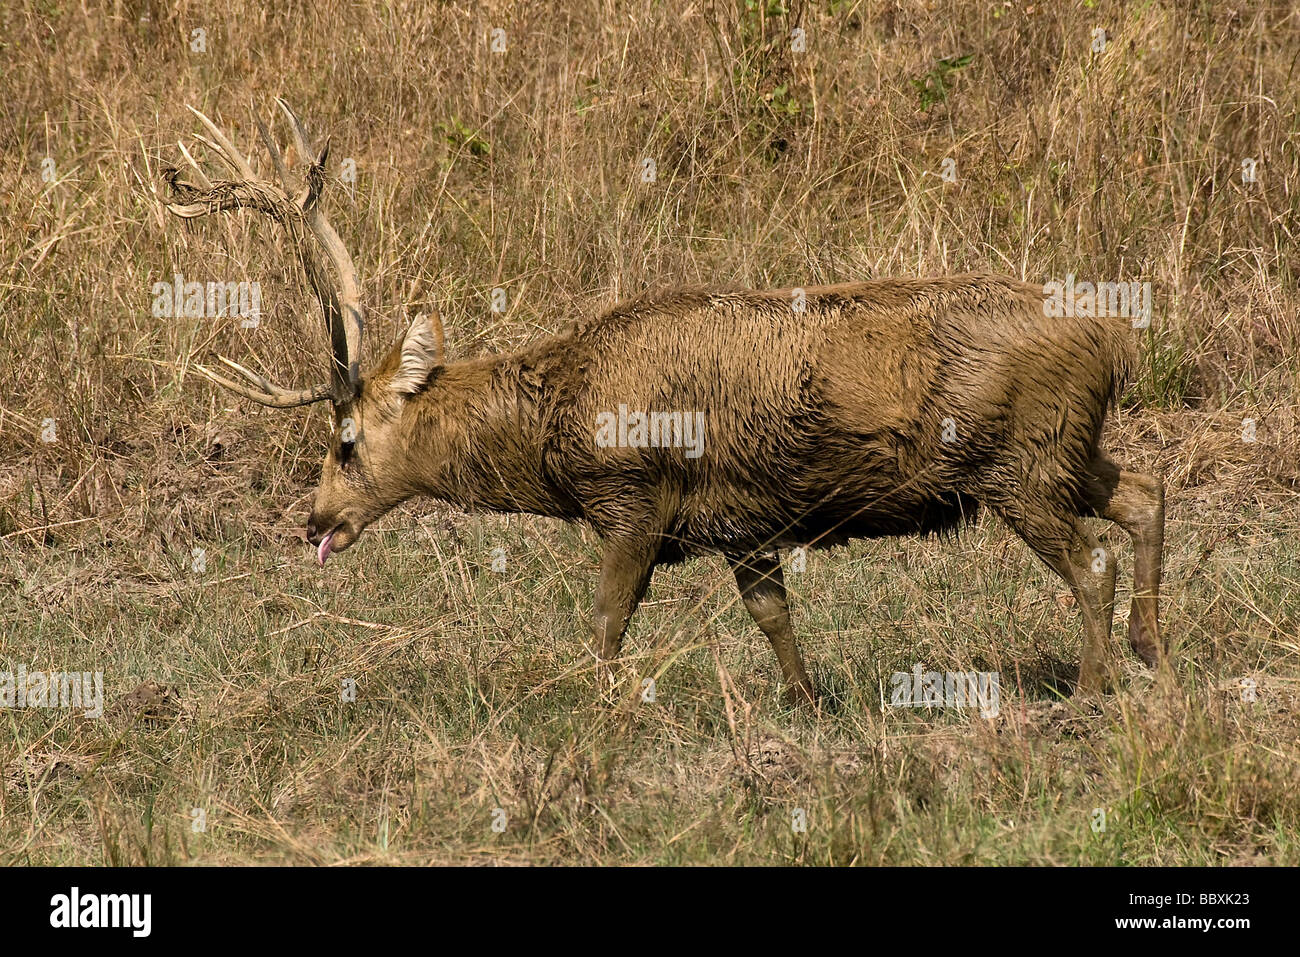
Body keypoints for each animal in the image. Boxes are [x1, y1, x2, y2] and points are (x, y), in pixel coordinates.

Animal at [161, 102, 1166, 705]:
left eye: (343, 441)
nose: (312, 520)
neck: (554, 431)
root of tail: (1112, 340)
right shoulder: (745, 524)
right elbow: (772, 617)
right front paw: (805, 705)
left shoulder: (631, 498)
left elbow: (606, 619)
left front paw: (600, 715)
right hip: (1068, 450)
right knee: (1146, 495)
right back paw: (1154, 651)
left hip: (1020, 463)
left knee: (1094, 561)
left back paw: (1091, 691)